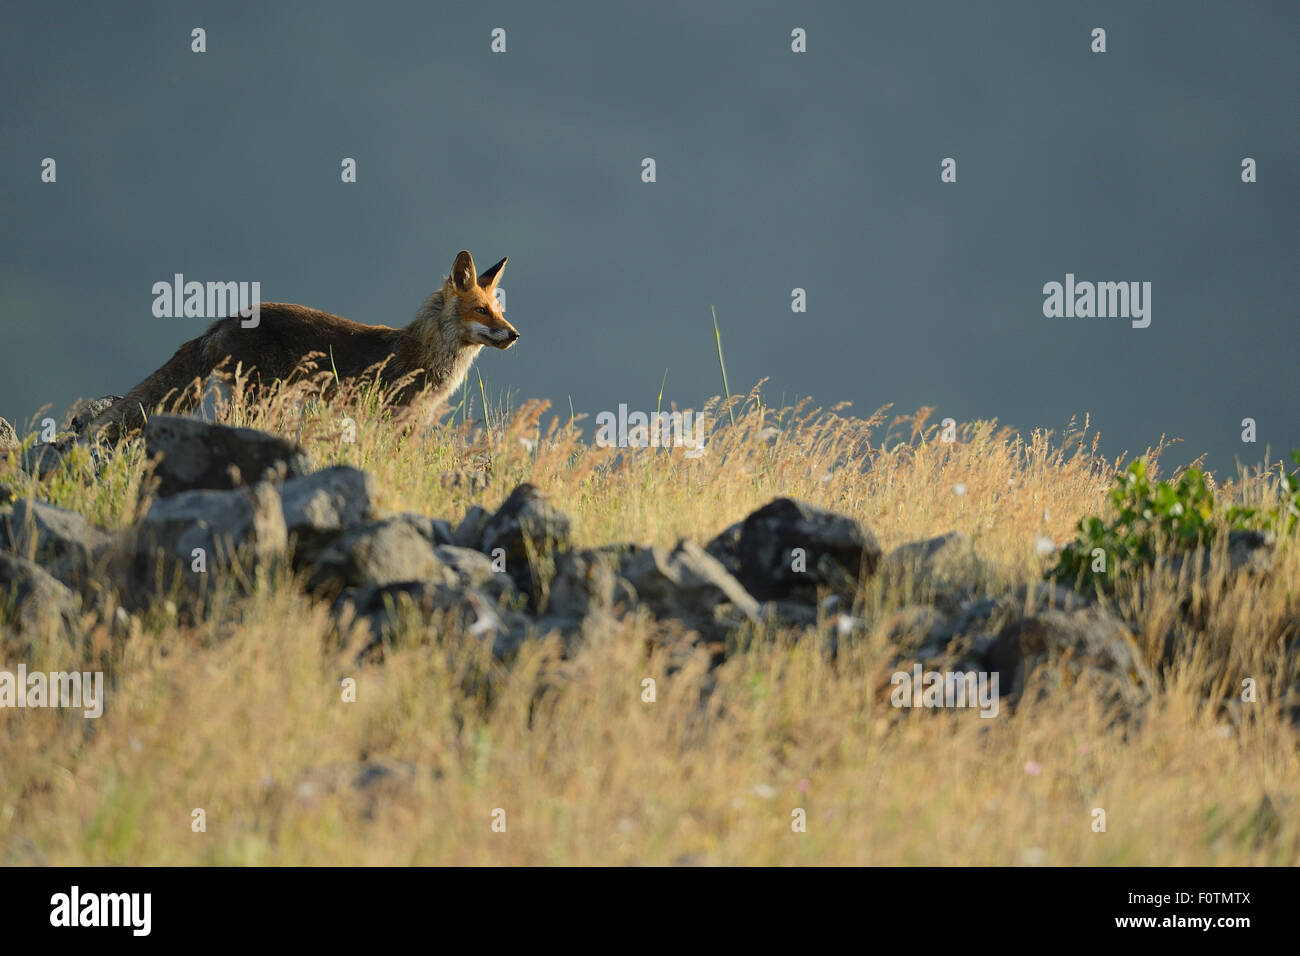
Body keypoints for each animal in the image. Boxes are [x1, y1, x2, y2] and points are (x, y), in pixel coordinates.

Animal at [86, 250, 518, 441]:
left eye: (499, 310)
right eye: (481, 311)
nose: (514, 334)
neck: (426, 357)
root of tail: (224, 319)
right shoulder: (392, 417)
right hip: (260, 399)